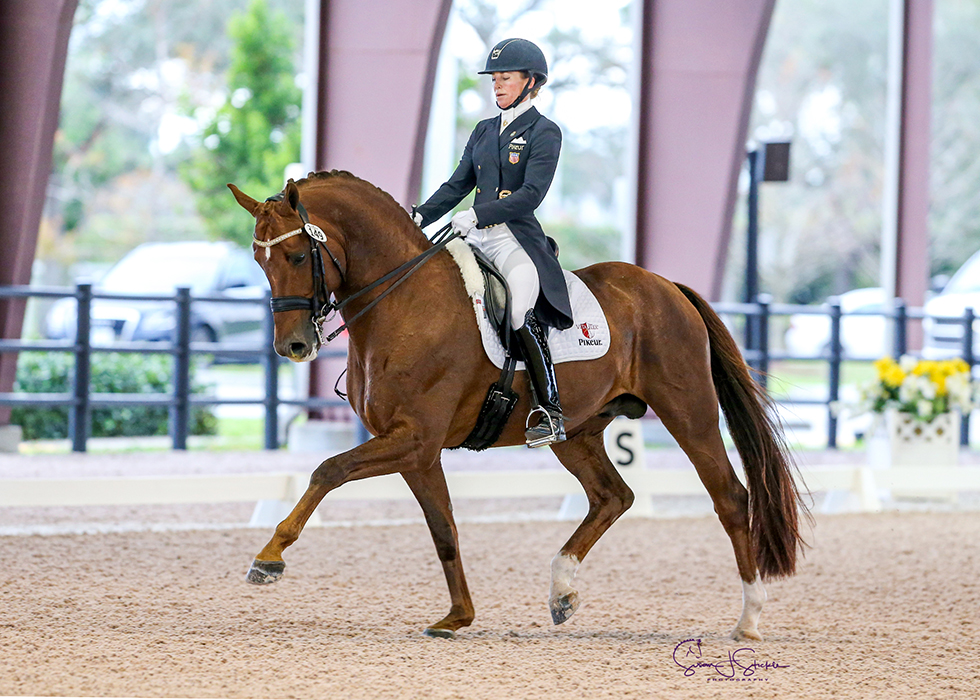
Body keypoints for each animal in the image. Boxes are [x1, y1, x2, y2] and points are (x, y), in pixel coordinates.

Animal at [228, 170, 809, 641]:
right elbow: (444, 529)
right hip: (576, 432)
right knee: (612, 497)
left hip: (688, 412)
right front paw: (457, 616)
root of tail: (667, 286)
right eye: (259, 259)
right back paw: (562, 593)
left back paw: (749, 620)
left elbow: (328, 470)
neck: (404, 301)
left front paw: (268, 558)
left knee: (730, 497)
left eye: (297, 256)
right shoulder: (416, 451)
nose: (293, 346)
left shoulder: (414, 439)